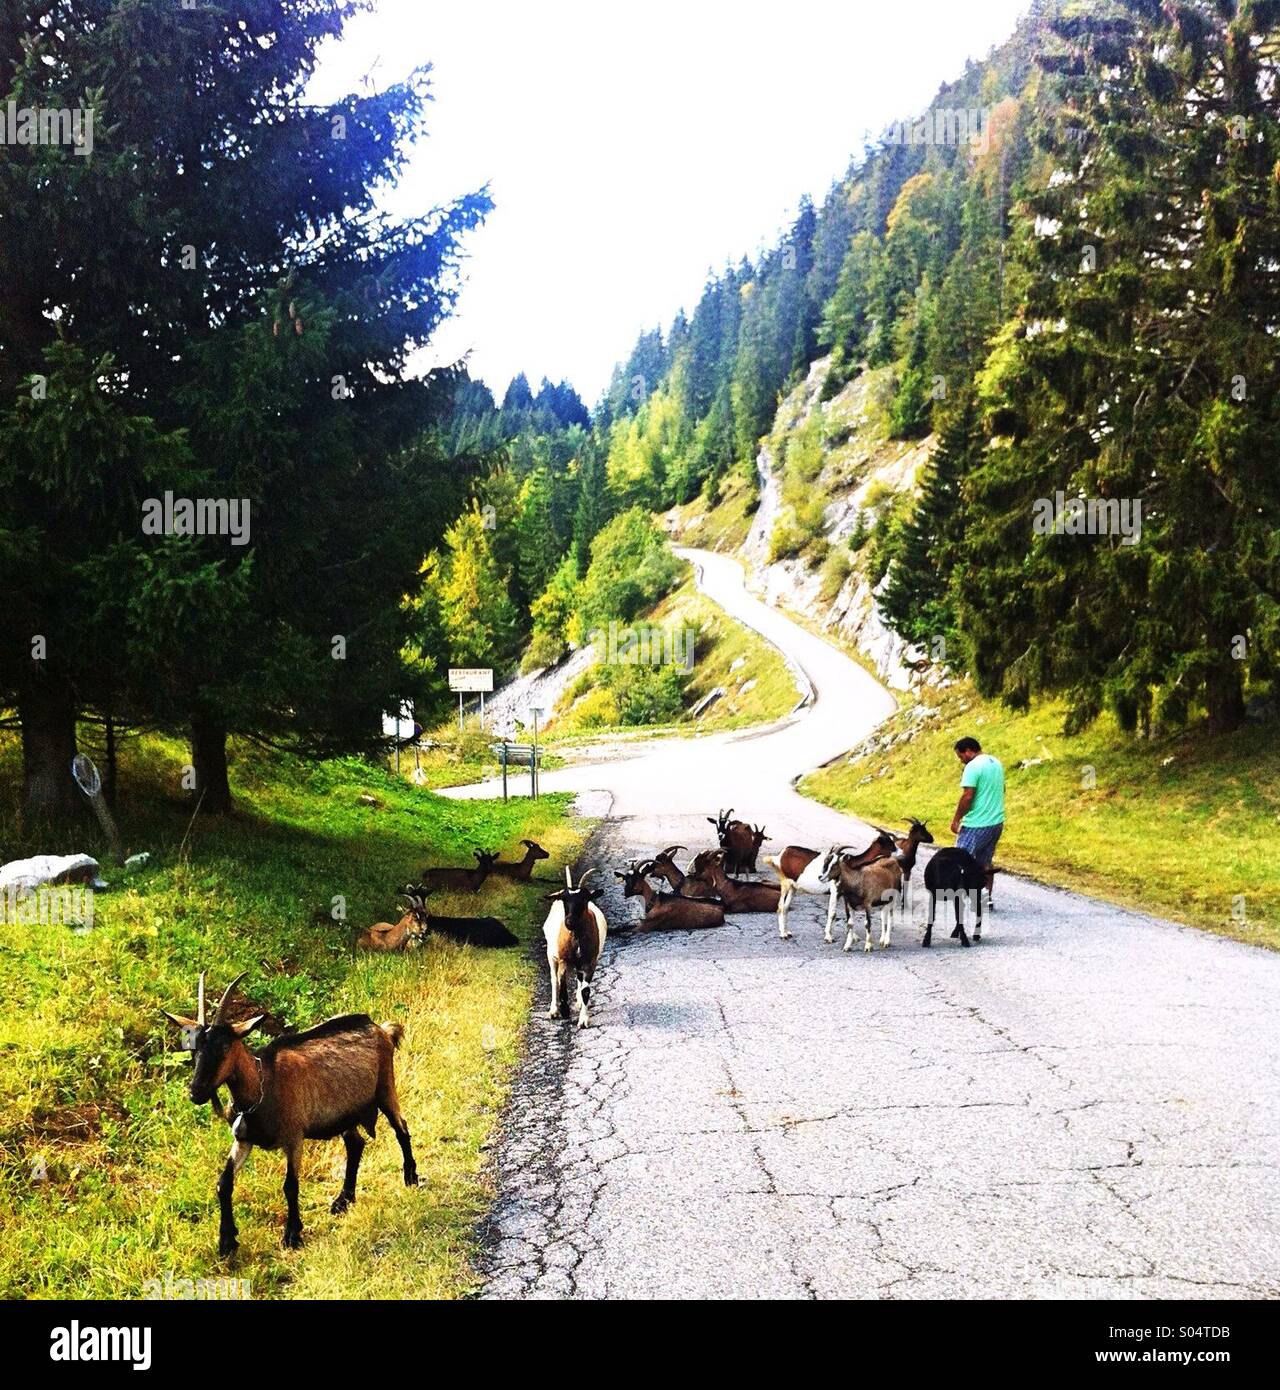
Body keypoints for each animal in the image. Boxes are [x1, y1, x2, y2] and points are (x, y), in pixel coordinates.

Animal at [162, 973, 416, 1256]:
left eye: (225, 1047)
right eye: (193, 1050)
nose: (196, 1092)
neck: (262, 1086)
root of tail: (381, 1028)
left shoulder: (294, 1138)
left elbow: (290, 1186)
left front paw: (292, 1235)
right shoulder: (244, 1139)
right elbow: (224, 1182)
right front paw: (227, 1241)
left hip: (385, 1088)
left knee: (401, 1128)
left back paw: (410, 1177)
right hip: (344, 1112)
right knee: (355, 1144)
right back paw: (343, 1200)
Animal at [543, 867, 608, 1028]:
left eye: (585, 899)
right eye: (564, 899)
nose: (569, 921)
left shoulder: (590, 961)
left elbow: (586, 990)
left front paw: (583, 1020)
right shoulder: (563, 959)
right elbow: (562, 985)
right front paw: (565, 1011)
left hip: (579, 961)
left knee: (579, 978)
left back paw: (578, 1002)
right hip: (550, 954)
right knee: (554, 979)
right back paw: (554, 1010)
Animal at [764, 830, 896, 940]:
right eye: (890, 844)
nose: (899, 853)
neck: (850, 864)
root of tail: (781, 854)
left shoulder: (844, 894)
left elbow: (848, 915)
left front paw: (852, 936)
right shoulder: (835, 891)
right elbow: (832, 913)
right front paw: (828, 936)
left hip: (793, 887)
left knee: (786, 907)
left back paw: (787, 932)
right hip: (785, 882)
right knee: (781, 906)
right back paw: (783, 934)